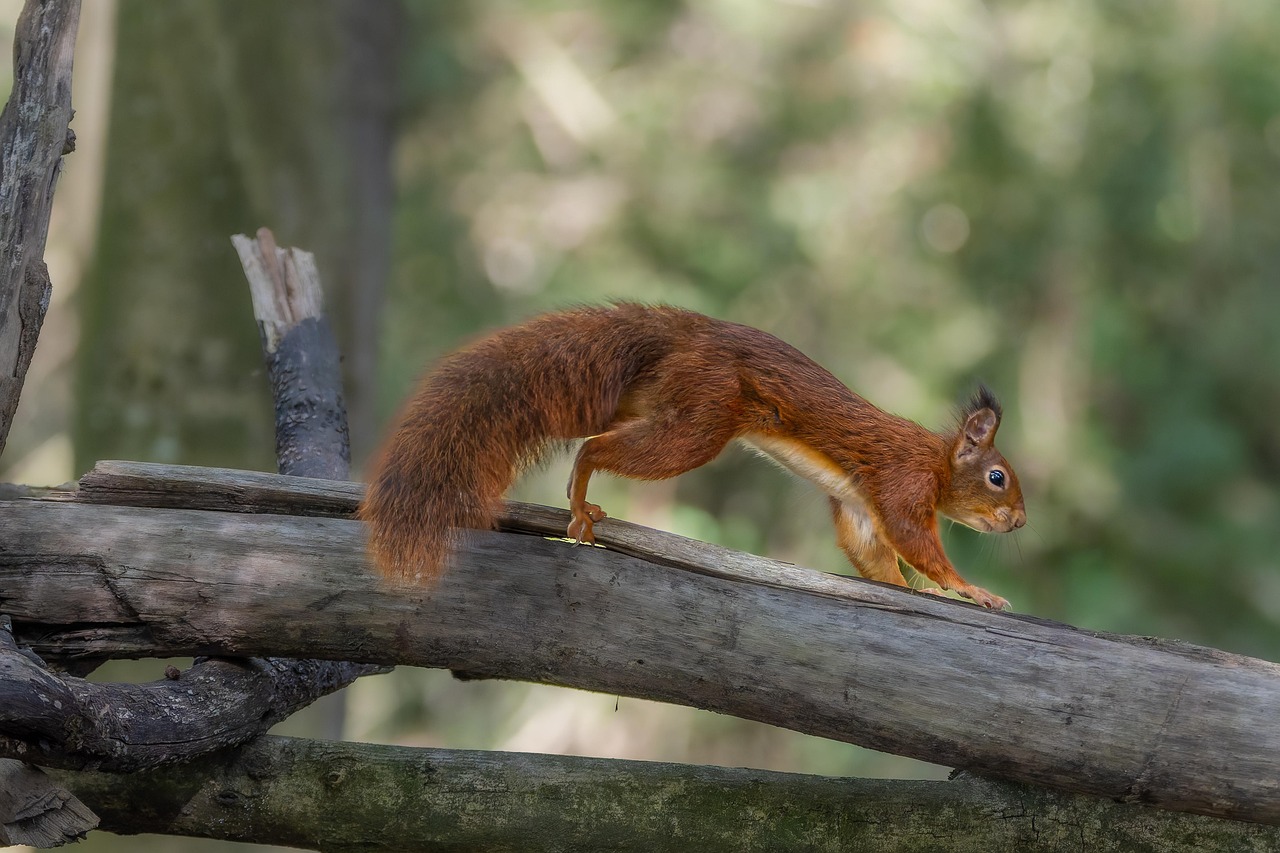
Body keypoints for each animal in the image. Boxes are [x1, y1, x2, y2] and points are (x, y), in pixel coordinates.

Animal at [359, 303, 1026, 610]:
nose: (1019, 523)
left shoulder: (861, 507)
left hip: (657, 403)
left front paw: (913, 592)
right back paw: (579, 500)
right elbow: (918, 543)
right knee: (595, 447)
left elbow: (876, 557)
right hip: (700, 423)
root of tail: (689, 335)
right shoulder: (903, 482)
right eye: (998, 477)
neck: (939, 461)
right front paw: (973, 590)